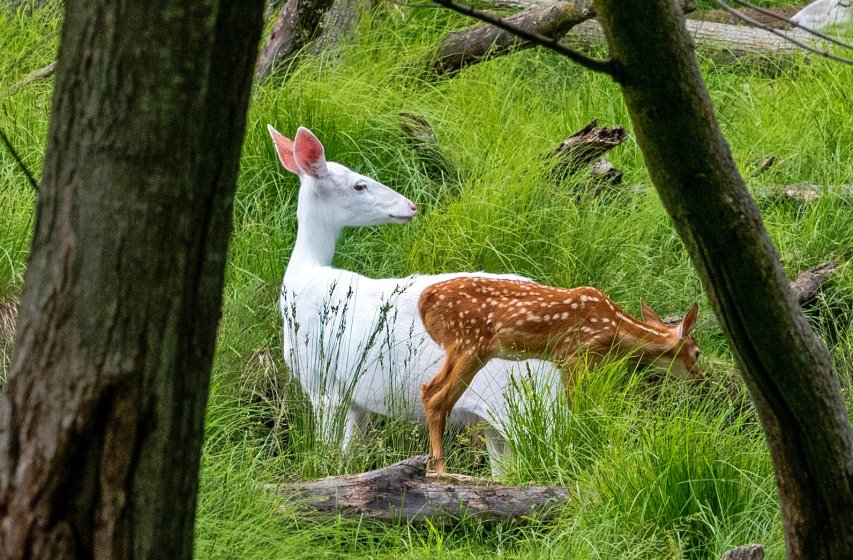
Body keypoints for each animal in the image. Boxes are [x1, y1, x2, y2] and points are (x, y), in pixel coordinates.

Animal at [269, 125, 561, 474]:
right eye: (359, 184)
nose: (410, 206)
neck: (303, 280)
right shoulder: (349, 396)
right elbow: (346, 454)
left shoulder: (324, 381)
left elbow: (329, 450)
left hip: (523, 402)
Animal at [419, 277, 703, 474]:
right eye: (697, 353)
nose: (700, 378)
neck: (616, 330)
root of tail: (423, 302)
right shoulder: (575, 355)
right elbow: (576, 408)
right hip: (470, 343)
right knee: (436, 396)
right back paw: (442, 470)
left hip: (463, 348)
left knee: (430, 390)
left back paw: (432, 466)